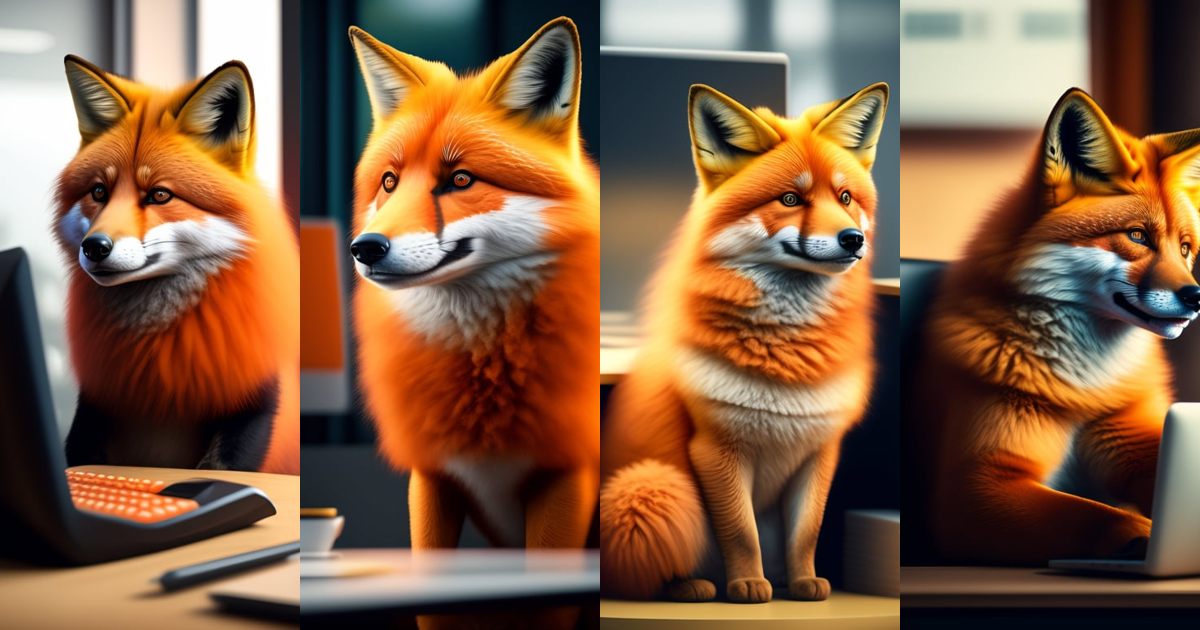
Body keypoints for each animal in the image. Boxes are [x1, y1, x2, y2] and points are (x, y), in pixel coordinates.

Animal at [53, 56, 300, 474]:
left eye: (159, 195)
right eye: (99, 192)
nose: (94, 247)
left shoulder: (254, 403)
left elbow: (222, 469)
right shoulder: (93, 405)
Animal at [599, 83, 889, 602]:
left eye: (845, 197)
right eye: (790, 198)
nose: (853, 239)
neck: (788, 356)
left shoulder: (820, 451)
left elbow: (806, 531)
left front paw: (802, 583)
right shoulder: (716, 449)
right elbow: (740, 530)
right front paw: (749, 585)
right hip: (658, 486)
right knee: (634, 581)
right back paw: (693, 587)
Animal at [912, 88, 1200, 565]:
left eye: (1185, 248)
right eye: (1138, 236)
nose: (1196, 297)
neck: (1084, 391)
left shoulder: (1134, 438)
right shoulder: (971, 488)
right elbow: (1097, 515)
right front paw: (1139, 537)